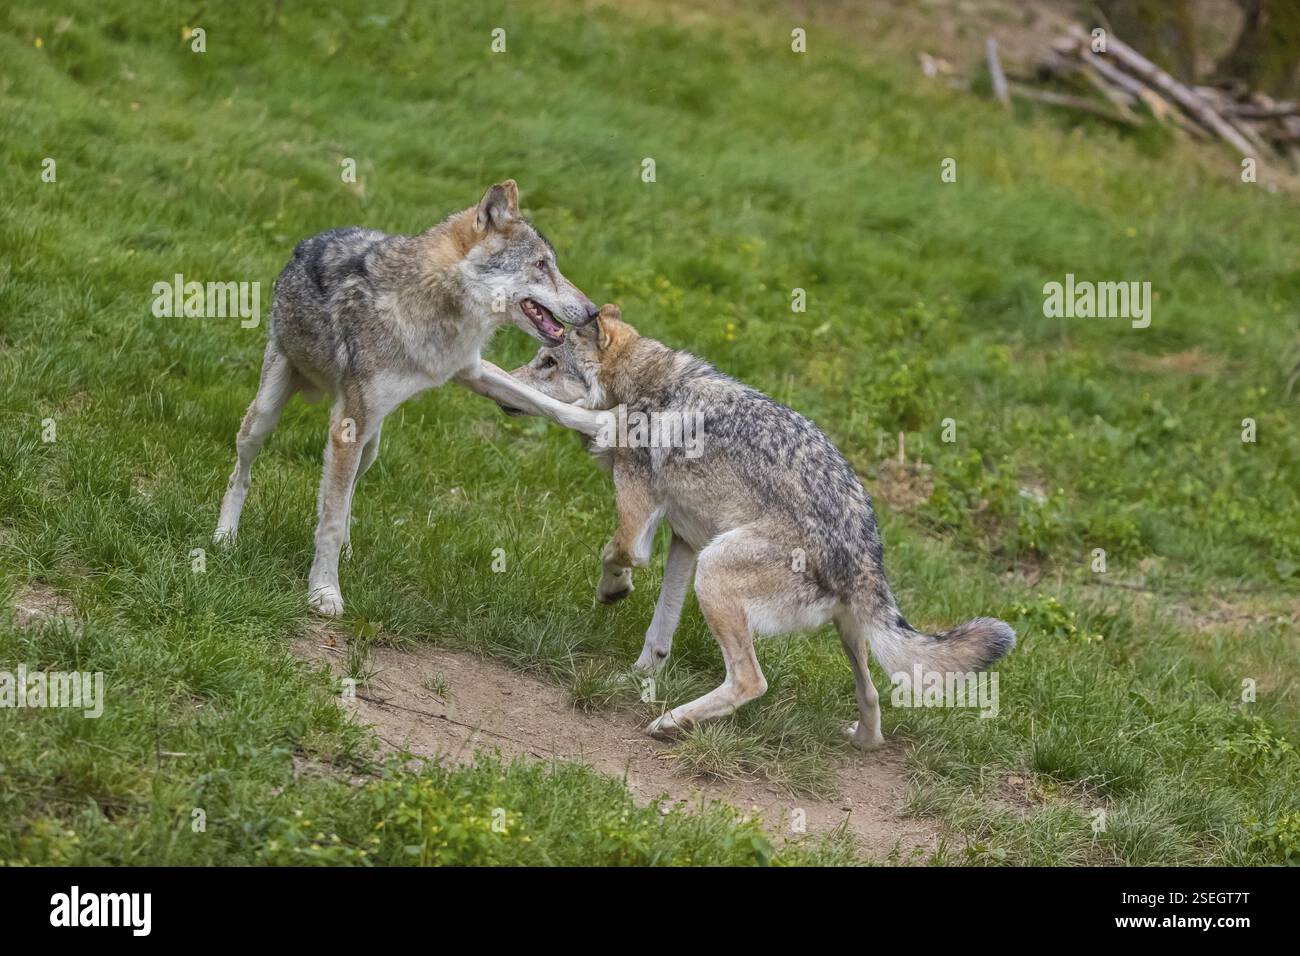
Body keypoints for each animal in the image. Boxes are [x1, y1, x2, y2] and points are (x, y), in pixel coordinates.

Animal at [213, 180, 612, 616]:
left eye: (552, 264)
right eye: (541, 265)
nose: (594, 312)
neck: (436, 304)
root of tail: (302, 245)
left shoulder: (473, 371)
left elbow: (545, 404)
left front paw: (602, 422)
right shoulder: (346, 429)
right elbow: (329, 522)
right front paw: (324, 593)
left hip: (370, 447)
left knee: (347, 496)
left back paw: (347, 551)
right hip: (268, 418)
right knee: (241, 474)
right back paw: (225, 538)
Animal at [507, 305, 1015, 746]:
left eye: (548, 363)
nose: (510, 384)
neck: (651, 384)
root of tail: (866, 558)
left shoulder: (638, 523)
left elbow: (615, 554)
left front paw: (614, 591)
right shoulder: (685, 541)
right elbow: (661, 630)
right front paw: (640, 675)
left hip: (716, 572)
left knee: (752, 681)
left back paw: (671, 722)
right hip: (840, 628)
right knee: (872, 698)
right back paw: (860, 740)